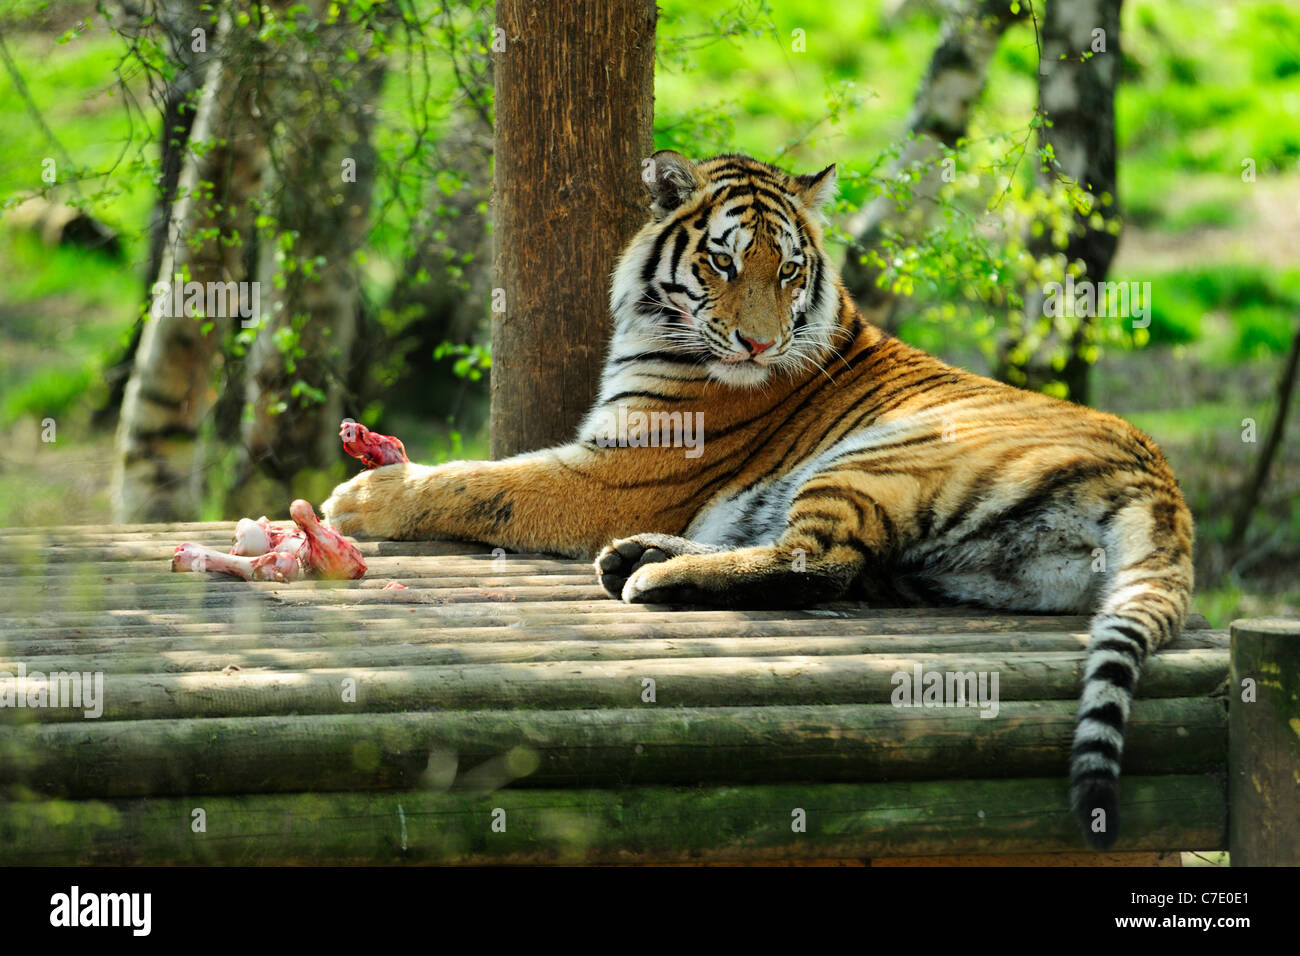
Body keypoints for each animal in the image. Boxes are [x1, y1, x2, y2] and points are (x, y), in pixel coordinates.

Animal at [322, 150, 1195, 849]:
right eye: (721, 264)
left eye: (788, 271)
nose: (760, 345)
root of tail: (1161, 486)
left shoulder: (612, 475)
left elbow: (487, 481)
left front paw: (364, 496)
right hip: (968, 568)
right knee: (841, 568)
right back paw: (641, 557)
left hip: (873, 458)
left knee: (823, 562)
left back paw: (651, 574)